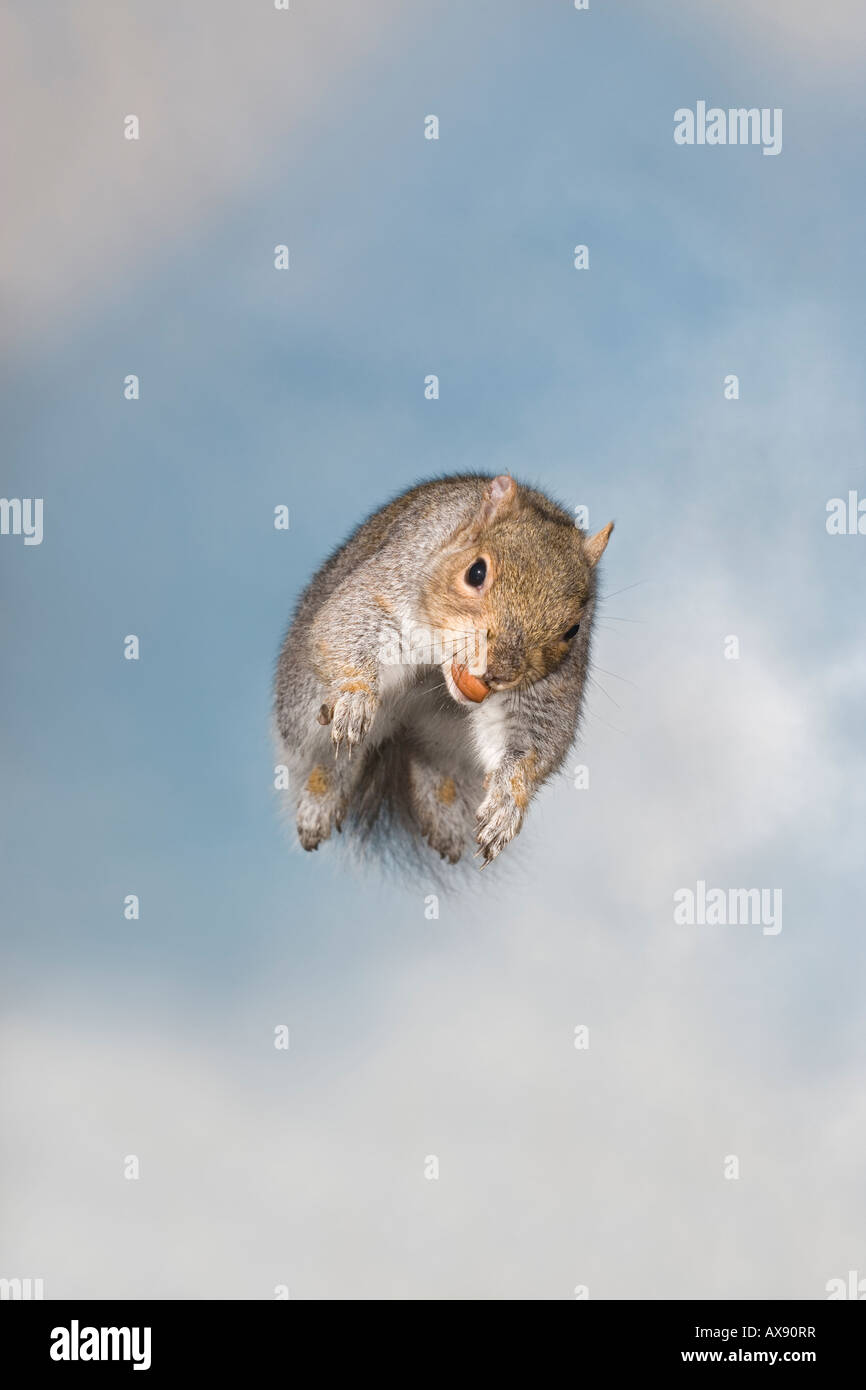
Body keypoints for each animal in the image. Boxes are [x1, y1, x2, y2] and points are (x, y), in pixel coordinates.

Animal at [274, 474, 613, 867]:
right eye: (476, 572)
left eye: (572, 630)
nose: (498, 672)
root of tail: (399, 729)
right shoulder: (396, 576)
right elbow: (352, 614)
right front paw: (356, 697)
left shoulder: (548, 689)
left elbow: (532, 738)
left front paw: (507, 803)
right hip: (302, 709)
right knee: (330, 756)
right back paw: (322, 795)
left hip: (445, 740)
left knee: (433, 761)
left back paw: (444, 813)